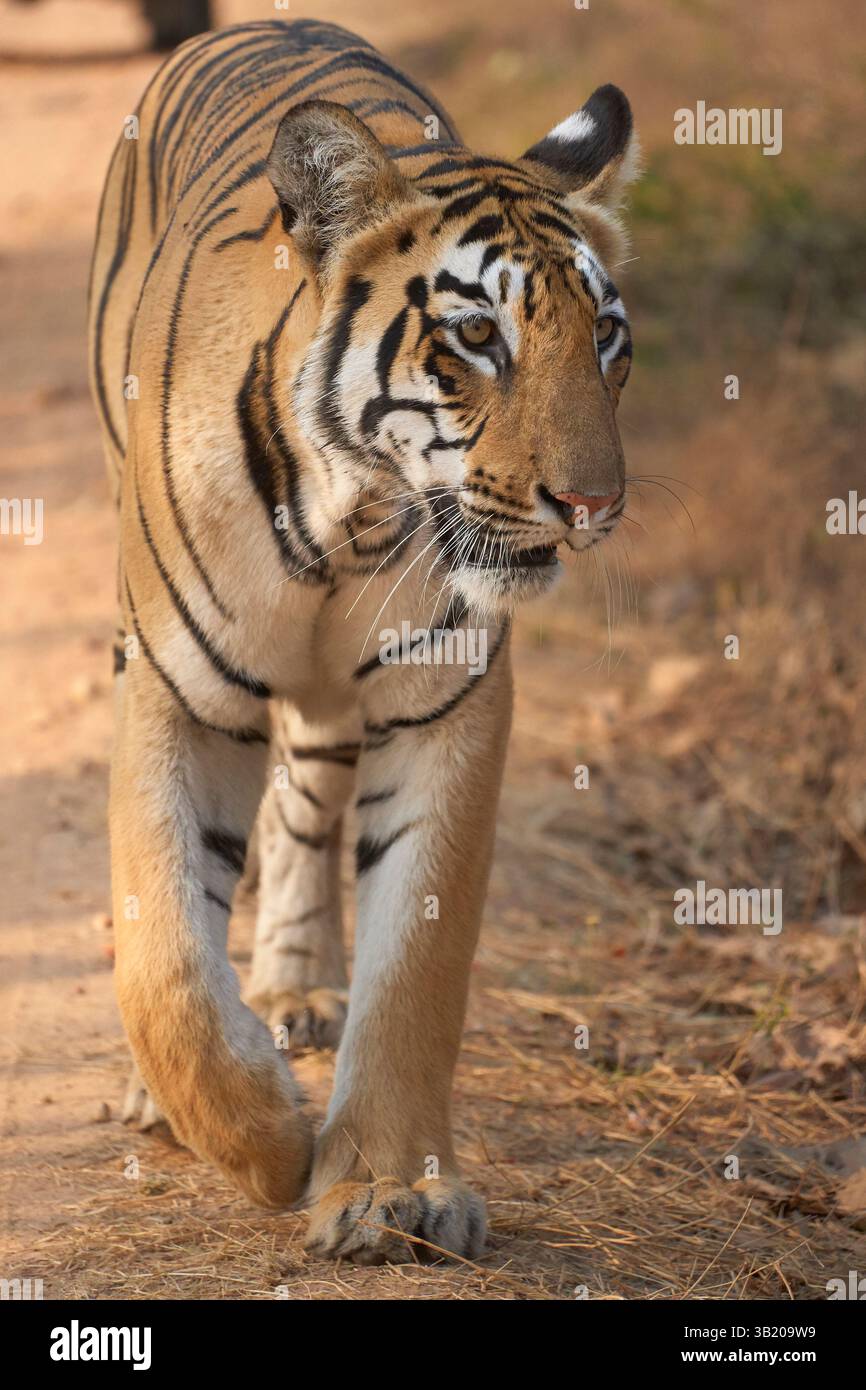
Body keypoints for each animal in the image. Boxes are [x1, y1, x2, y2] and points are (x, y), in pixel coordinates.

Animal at [88, 17, 638, 1264]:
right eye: (476, 336)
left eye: (606, 341)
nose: (590, 504)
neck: (353, 516)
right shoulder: (176, 687)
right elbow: (166, 952)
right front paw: (262, 1140)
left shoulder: (444, 703)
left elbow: (416, 969)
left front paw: (390, 1191)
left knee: (303, 800)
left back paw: (296, 987)